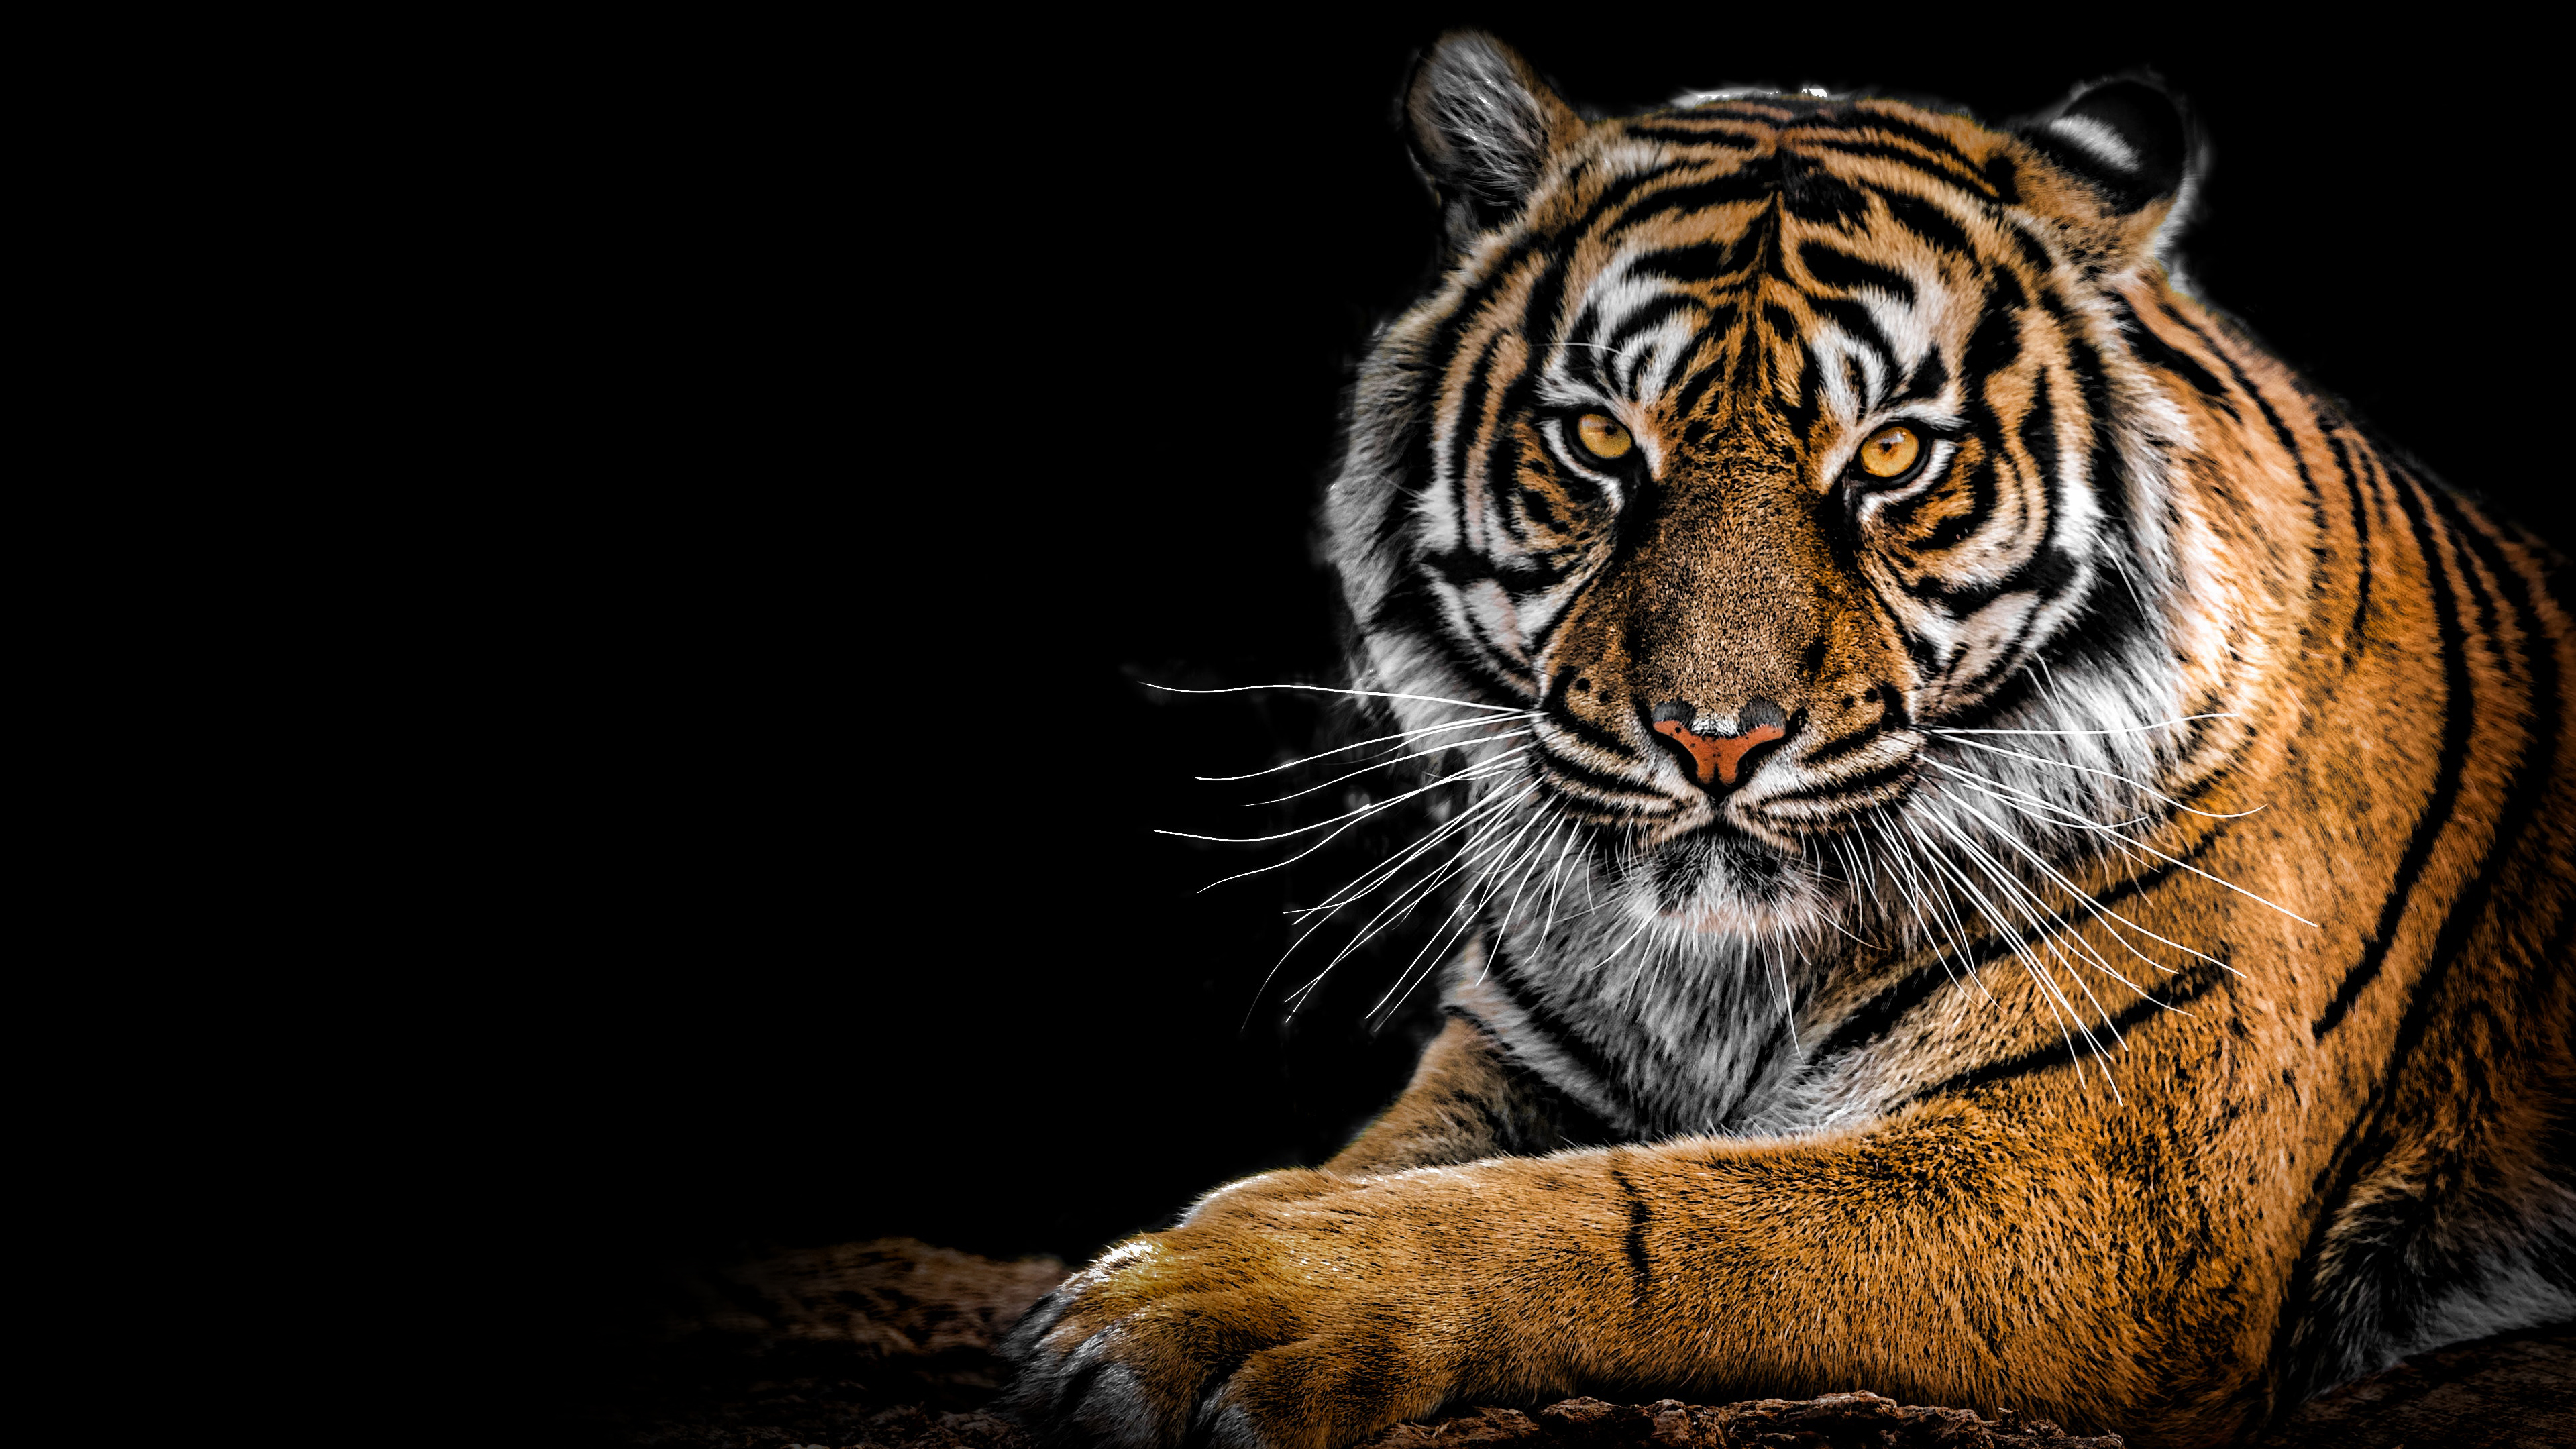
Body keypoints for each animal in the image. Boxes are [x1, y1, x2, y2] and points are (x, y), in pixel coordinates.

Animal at [1003, 31, 2575, 1449]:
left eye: (1891, 455)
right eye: (1597, 442)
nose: (1714, 740)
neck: (1720, 976)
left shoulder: (2107, 1185)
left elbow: (1639, 1220)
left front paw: (1205, 1305)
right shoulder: (1520, 1062)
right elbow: (1379, 1165)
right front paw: (1195, 1251)